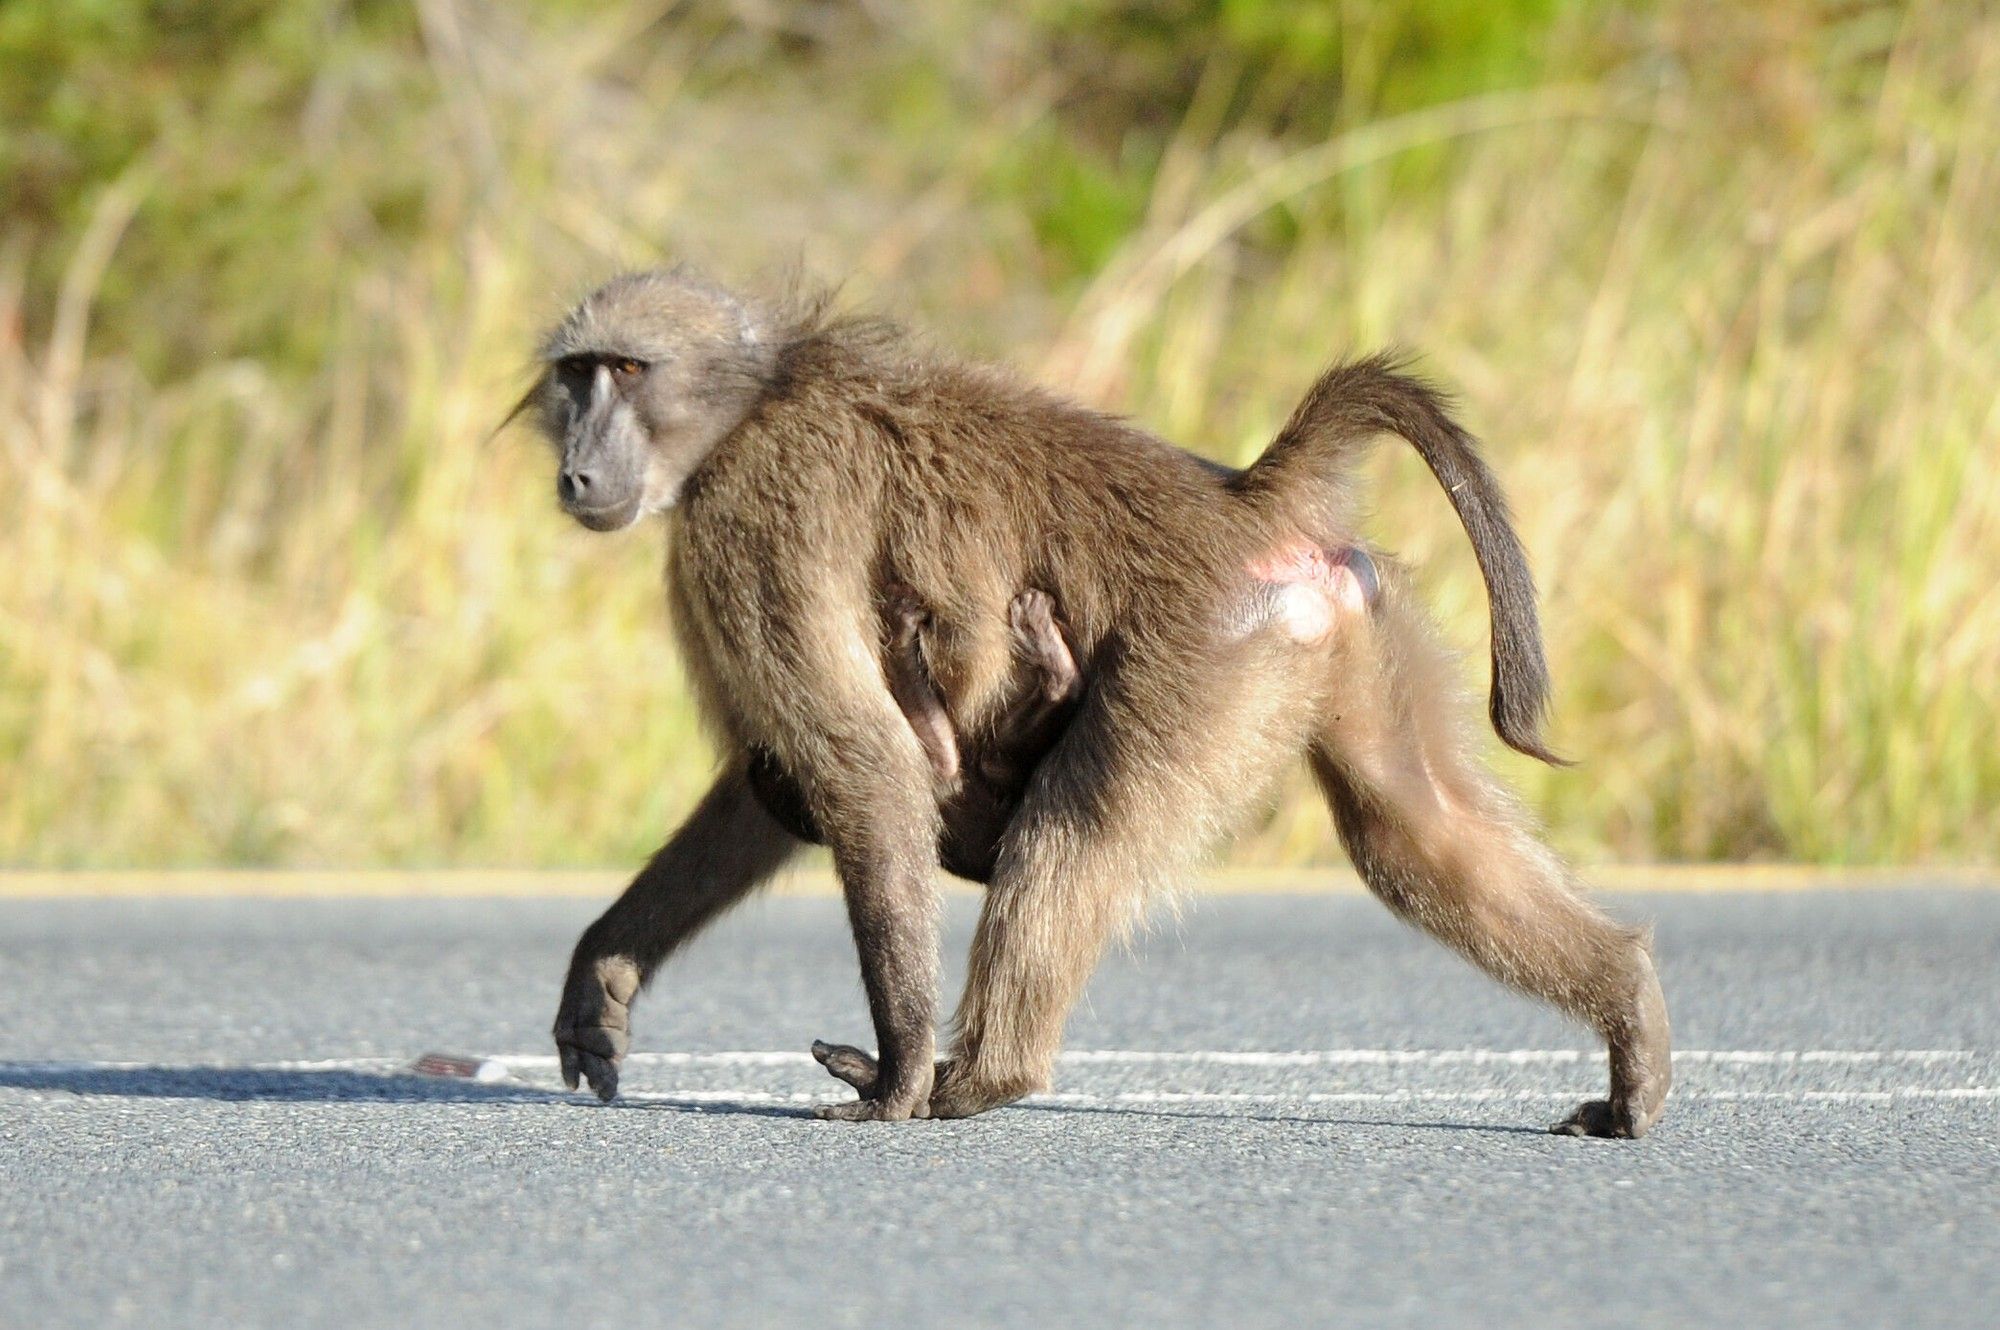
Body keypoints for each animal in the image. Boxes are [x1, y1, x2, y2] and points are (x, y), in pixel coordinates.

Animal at [527, 267, 1670, 1137]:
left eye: (626, 370)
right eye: (572, 376)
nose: (576, 476)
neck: (759, 398)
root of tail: (1247, 500)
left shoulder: (752, 515)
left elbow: (857, 760)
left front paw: (898, 1073)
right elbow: (768, 790)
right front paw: (602, 979)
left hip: (1198, 663)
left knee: (1067, 835)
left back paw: (974, 1080)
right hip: (1341, 640)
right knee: (1412, 837)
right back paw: (1629, 1027)